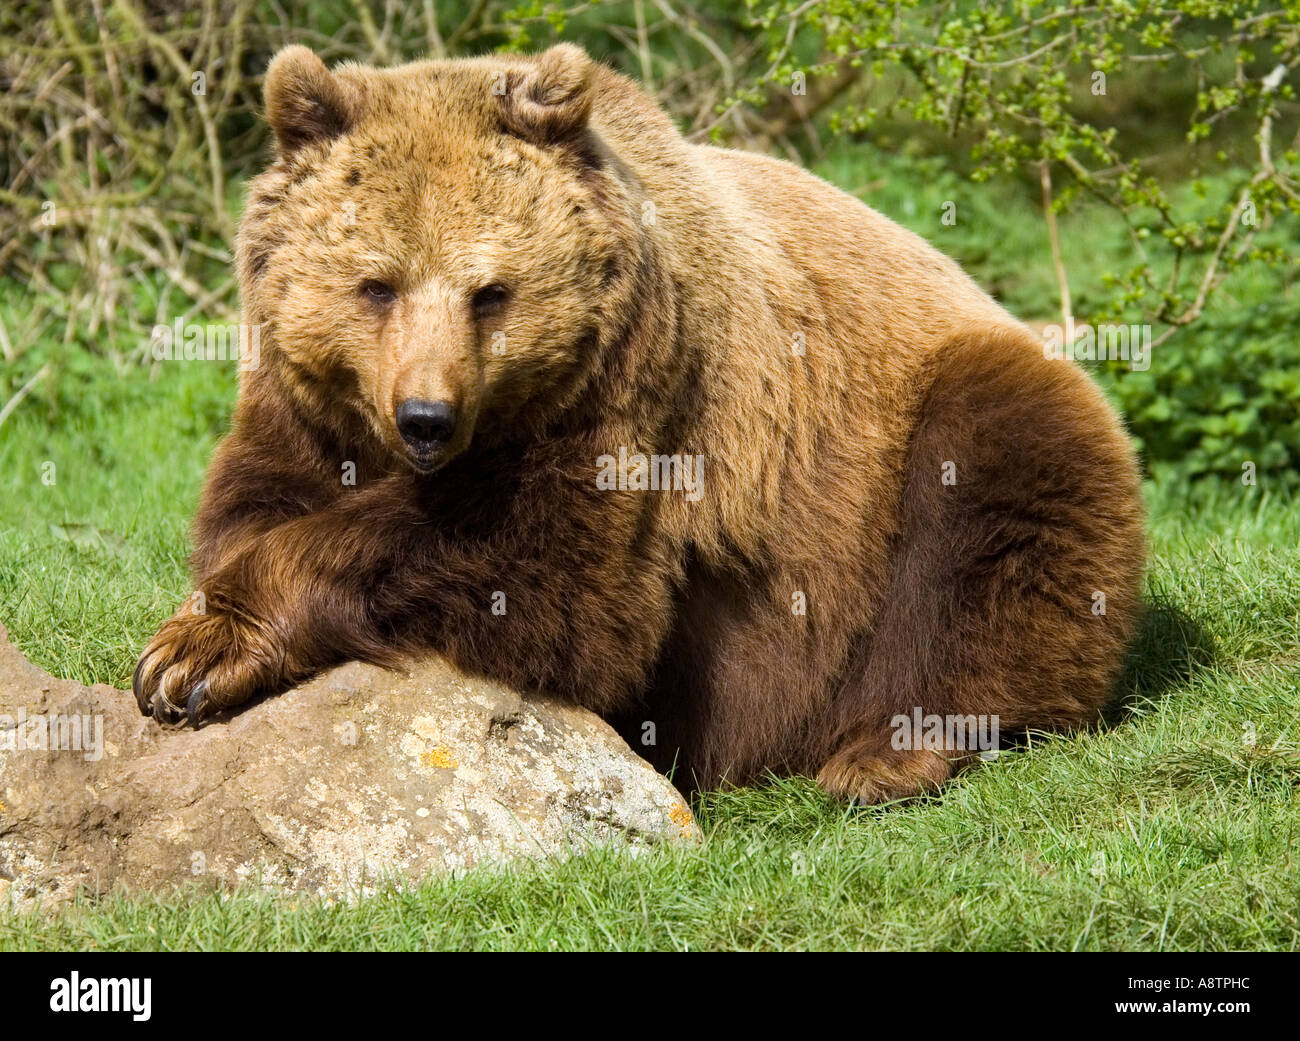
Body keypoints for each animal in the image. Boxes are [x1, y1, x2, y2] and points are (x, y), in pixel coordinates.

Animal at [133, 42, 1146, 804]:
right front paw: (194, 639)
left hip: (928, 433)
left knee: (997, 503)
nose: (426, 417)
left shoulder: (637, 402)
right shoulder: (301, 405)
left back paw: (885, 753)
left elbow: (549, 574)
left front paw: (188, 658)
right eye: (375, 285)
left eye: (490, 291)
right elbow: (253, 507)